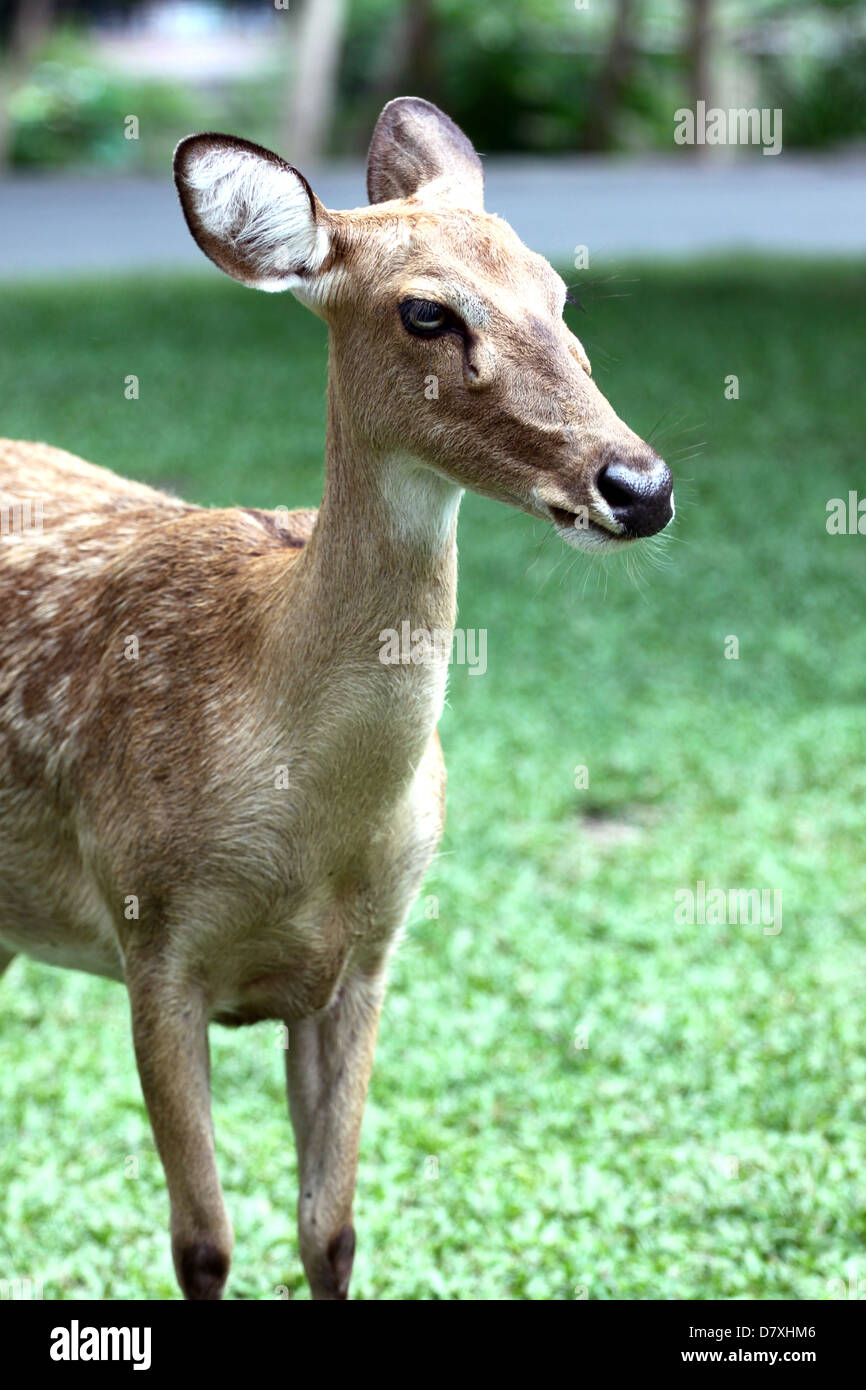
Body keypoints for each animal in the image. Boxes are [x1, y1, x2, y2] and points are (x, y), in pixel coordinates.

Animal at [0, 98, 673, 1300]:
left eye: (559, 291)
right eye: (425, 311)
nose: (638, 487)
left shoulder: (368, 956)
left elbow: (333, 1227)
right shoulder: (149, 934)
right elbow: (203, 1241)